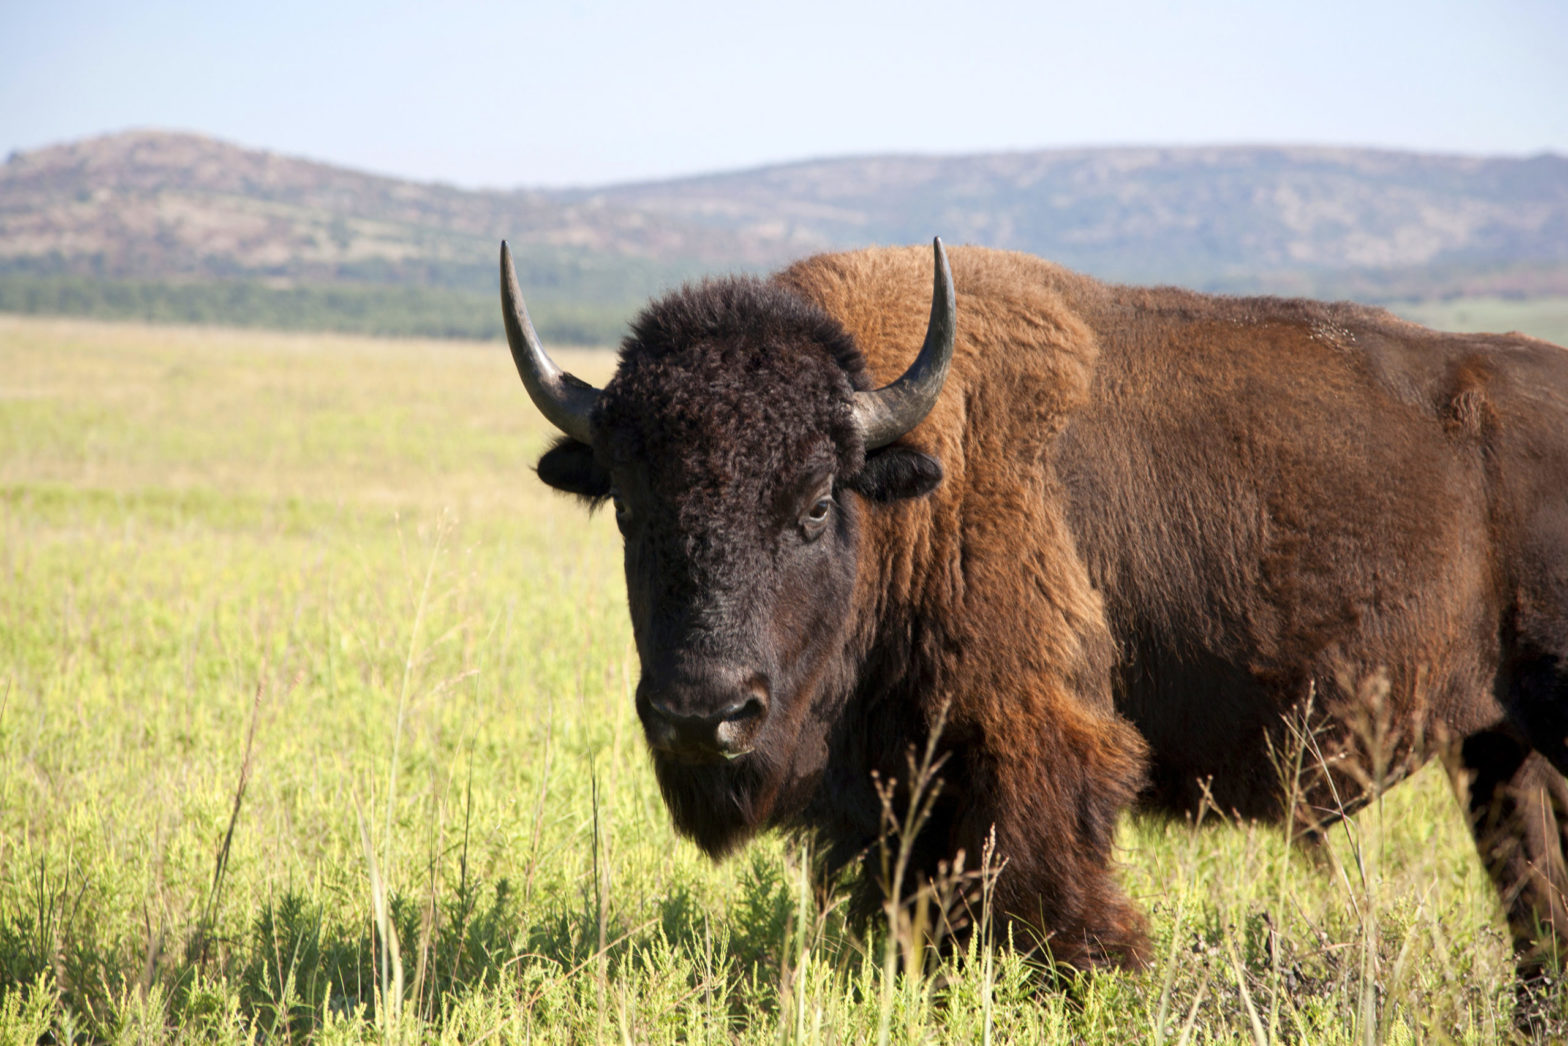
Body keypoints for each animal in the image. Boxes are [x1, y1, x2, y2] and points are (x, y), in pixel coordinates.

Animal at [501, 239, 1568, 979]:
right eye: (627, 507)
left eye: (812, 503)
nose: (702, 714)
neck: (910, 488)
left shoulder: (1031, 744)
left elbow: (1051, 904)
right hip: (1500, 752)